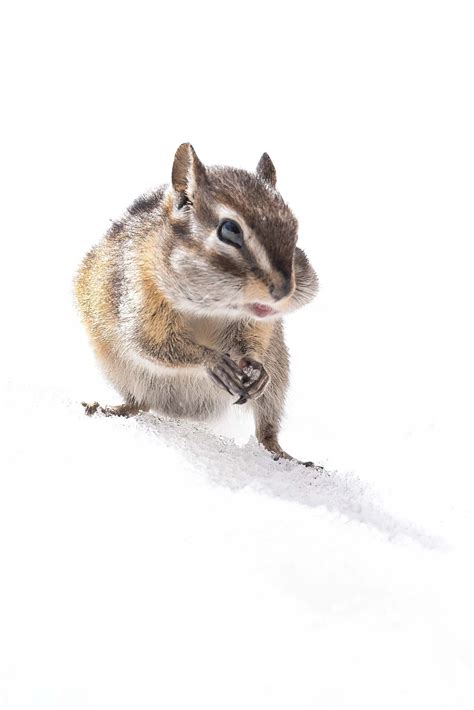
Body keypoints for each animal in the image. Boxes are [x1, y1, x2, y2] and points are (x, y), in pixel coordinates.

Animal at [75, 144, 319, 466]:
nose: (284, 290)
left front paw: (256, 368)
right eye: (230, 230)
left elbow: (254, 341)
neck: (212, 307)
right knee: (138, 404)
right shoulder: (139, 296)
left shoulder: (258, 324)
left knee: (266, 430)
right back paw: (107, 408)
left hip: (279, 373)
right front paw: (213, 361)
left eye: (295, 230)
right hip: (123, 372)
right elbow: (153, 343)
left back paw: (286, 456)